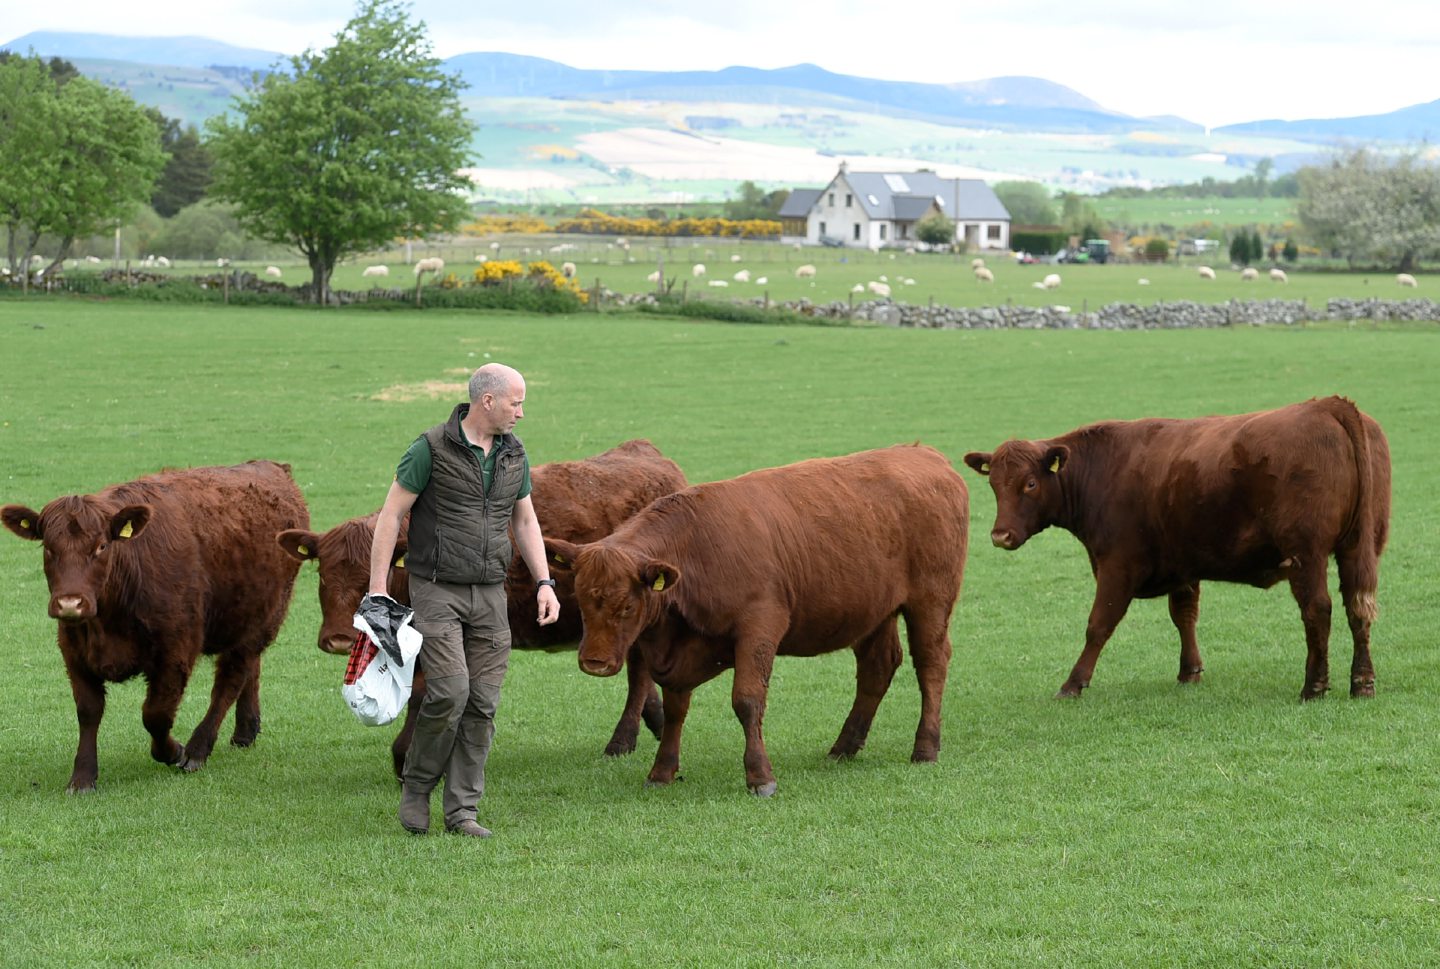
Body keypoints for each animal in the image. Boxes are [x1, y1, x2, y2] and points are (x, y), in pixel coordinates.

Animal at [2, 461, 309, 793]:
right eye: (48, 548)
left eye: (101, 546)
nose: (70, 603)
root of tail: (269, 467)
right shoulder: (74, 650)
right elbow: (88, 711)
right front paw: (82, 776)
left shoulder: (176, 651)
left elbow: (156, 714)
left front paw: (174, 751)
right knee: (249, 671)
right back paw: (245, 730)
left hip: (264, 618)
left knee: (229, 680)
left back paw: (198, 749)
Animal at [276, 439, 687, 776]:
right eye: (323, 575)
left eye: (369, 579)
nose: (339, 639)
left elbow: (428, 694)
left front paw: (410, 757)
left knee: (638, 675)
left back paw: (623, 738)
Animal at [544, 444, 970, 797]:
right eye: (581, 600)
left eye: (627, 607)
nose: (595, 662)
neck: (697, 548)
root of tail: (924, 454)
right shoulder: (678, 656)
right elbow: (677, 709)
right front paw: (661, 772)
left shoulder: (760, 628)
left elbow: (747, 701)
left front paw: (760, 777)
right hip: (873, 612)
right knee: (877, 669)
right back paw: (843, 747)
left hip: (931, 602)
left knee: (931, 665)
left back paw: (925, 747)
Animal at [963, 396, 1391, 701]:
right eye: (994, 484)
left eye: (1030, 484)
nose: (1000, 535)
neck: (1102, 469)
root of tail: (1328, 405)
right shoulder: (1183, 565)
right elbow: (1184, 616)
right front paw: (1190, 672)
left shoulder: (1117, 565)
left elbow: (1098, 624)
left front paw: (1074, 683)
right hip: (1360, 548)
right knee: (1358, 608)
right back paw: (1362, 682)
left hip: (1307, 555)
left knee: (1318, 610)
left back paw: (1313, 686)